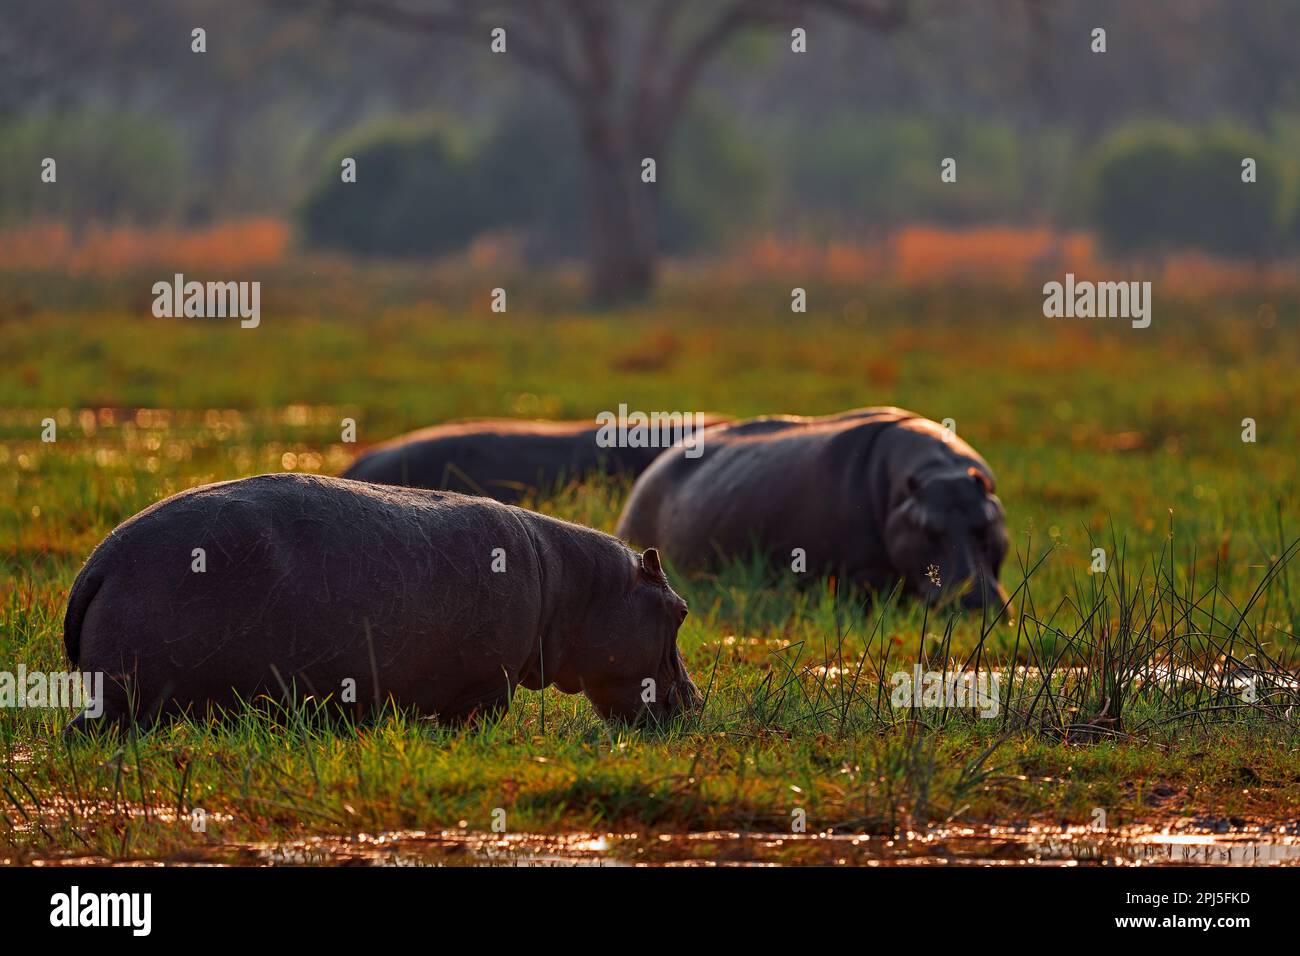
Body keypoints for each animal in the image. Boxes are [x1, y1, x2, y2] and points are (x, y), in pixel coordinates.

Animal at [63, 473, 699, 733]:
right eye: (682, 611)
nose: (696, 703)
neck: (574, 586)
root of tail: (100, 562)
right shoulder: (484, 691)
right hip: (126, 699)